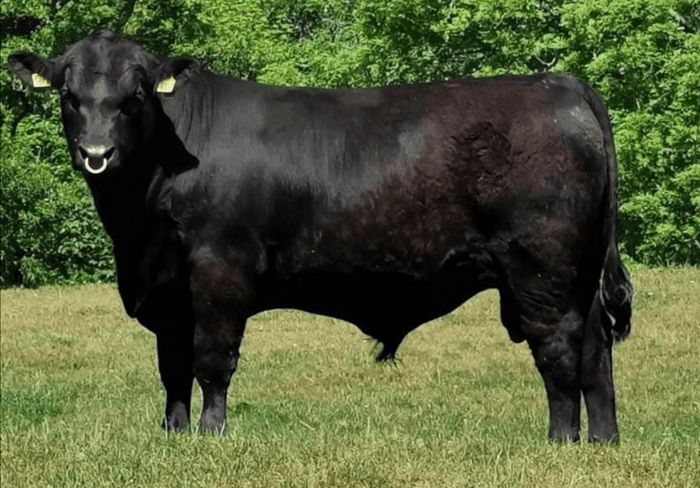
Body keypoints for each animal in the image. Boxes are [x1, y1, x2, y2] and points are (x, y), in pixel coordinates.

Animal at [10, 30, 632, 443]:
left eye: (135, 96)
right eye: (69, 95)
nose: (96, 153)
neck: (138, 230)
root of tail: (558, 83)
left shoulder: (218, 271)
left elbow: (211, 360)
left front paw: (211, 435)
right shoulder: (167, 291)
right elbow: (172, 366)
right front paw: (173, 433)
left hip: (541, 268)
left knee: (558, 350)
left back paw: (562, 440)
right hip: (577, 272)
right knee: (595, 351)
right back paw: (603, 442)